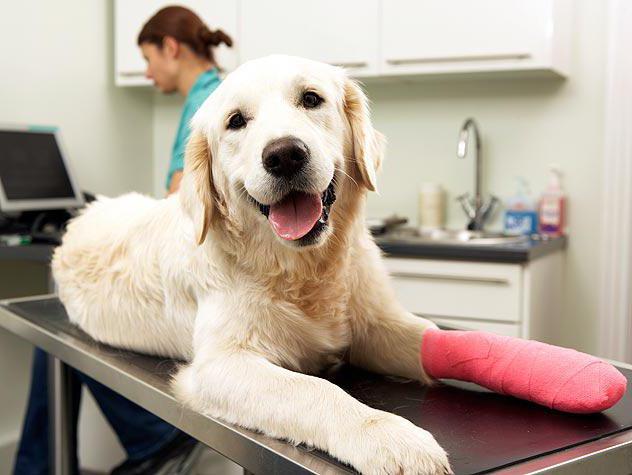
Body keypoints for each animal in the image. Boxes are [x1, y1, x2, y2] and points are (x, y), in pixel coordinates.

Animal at [51, 54, 452, 472]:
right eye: (236, 121)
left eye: (311, 99)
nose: (284, 154)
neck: (302, 269)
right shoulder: (219, 365)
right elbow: (313, 389)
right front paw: (390, 436)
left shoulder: (375, 325)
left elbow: (429, 336)